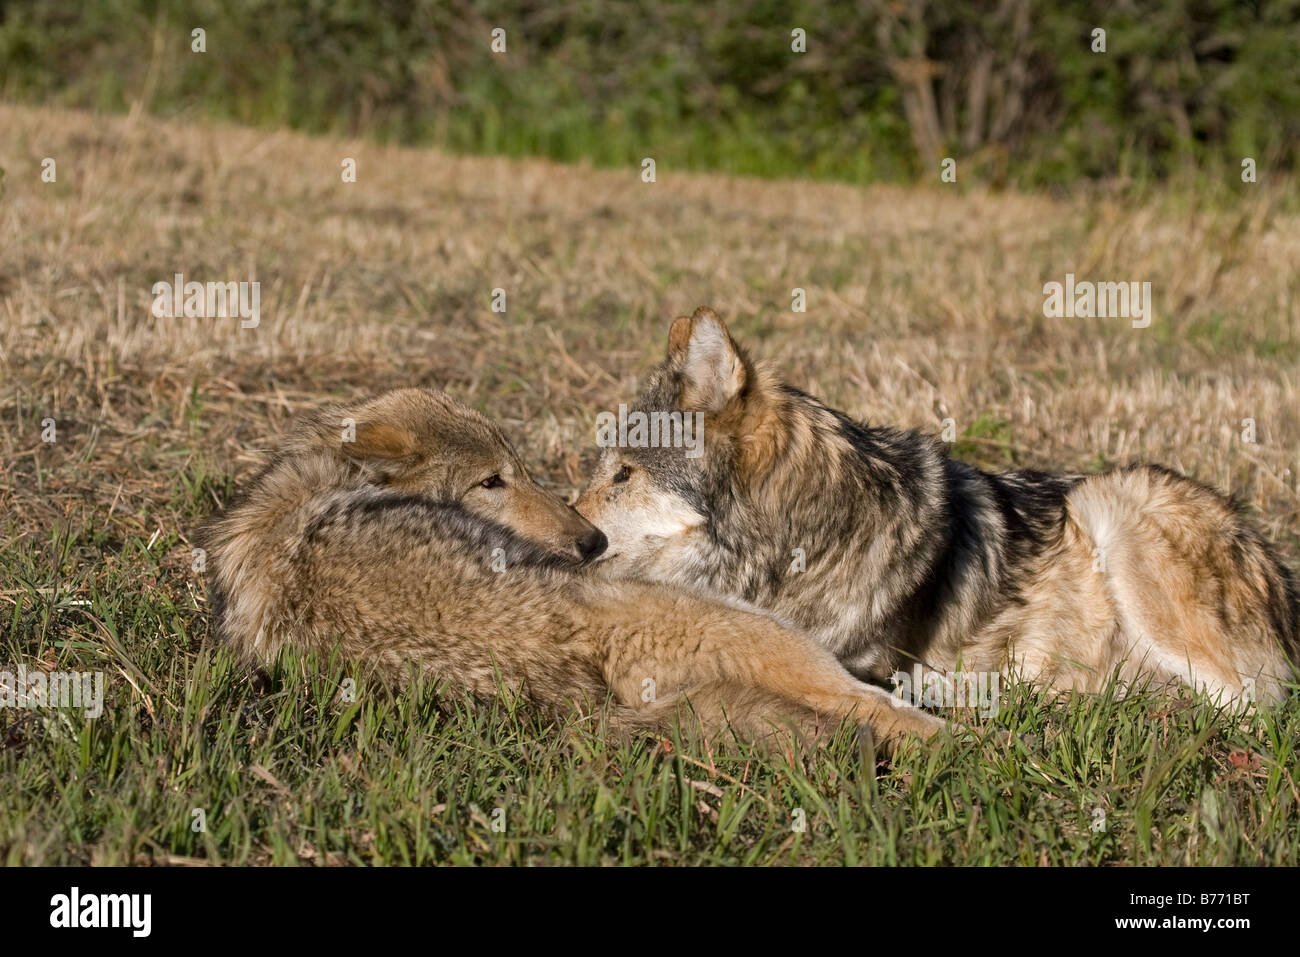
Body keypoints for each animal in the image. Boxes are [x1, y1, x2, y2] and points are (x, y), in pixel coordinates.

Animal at [198, 387, 943, 747]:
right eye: (490, 482)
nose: (592, 542)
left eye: (520, 470)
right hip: (758, 629)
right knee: (883, 711)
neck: (313, 485)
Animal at [576, 308, 1300, 708]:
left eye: (623, 474)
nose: (573, 534)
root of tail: (1274, 562)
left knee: (1249, 703)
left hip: (1115, 501)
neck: (795, 541)